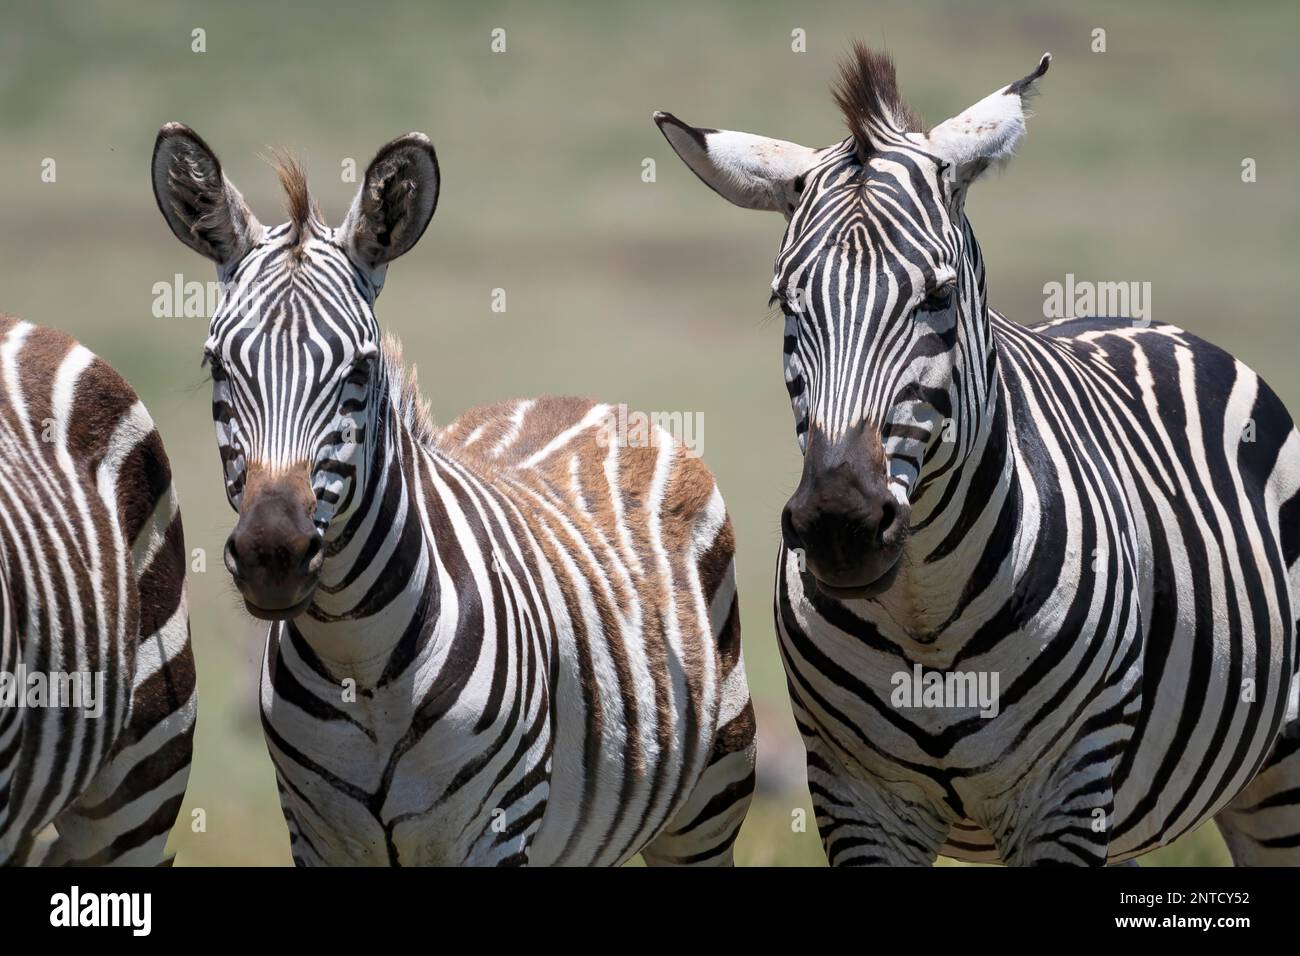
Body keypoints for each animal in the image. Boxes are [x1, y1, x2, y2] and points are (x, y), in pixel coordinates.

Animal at [150, 123, 756, 866]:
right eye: (217, 364)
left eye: (361, 369)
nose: (273, 555)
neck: (359, 659)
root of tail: (581, 399)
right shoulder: (316, 835)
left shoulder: (496, 831)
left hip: (709, 802)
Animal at [656, 44, 1300, 865]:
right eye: (786, 302)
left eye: (938, 294)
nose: (840, 524)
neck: (925, 611)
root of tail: (1140, 319)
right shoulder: (854, 797)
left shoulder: (1068, 792)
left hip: (1278, 774)